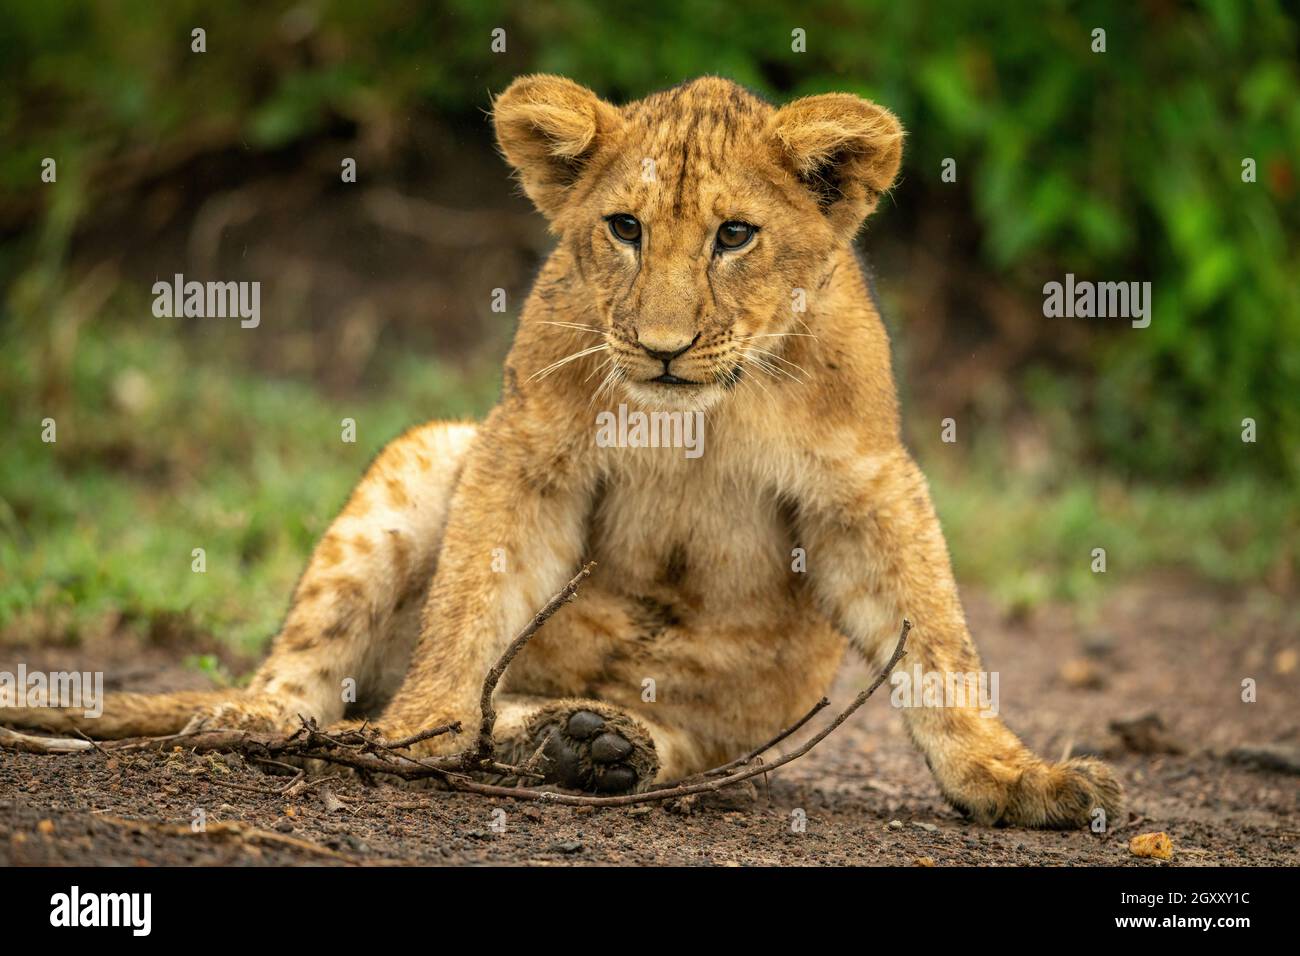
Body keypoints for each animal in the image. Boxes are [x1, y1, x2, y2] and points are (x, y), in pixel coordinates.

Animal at [3, 75, 1122, 827]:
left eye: (735, 236)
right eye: (623, 227)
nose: (663, 345)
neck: (695, 413)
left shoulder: (864, 481)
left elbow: (941, 648)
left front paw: (1016, 779)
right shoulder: (524, 447)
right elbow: (466, 609)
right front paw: (415, 735)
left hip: (732, 720)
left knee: (637, 734)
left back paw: (588, 744)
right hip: (426, 456)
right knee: (314, 669)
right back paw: (276, 724)